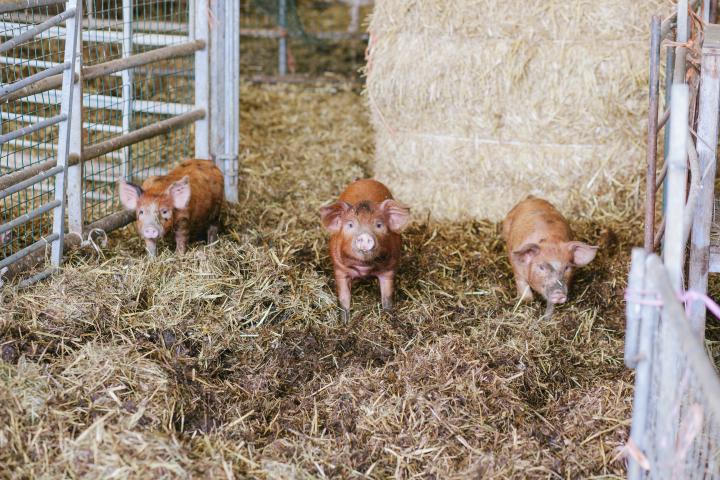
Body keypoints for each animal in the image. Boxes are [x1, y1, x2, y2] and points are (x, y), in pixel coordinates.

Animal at [319, 179, 410, 320]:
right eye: (350, 225)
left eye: (379, 225)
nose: (365, 235)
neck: (364, 269)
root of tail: (365, 180)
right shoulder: (339, 269)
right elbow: (343, 297)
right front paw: (344, 321)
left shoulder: (389, 269)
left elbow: (387, 296)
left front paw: (388, 315)